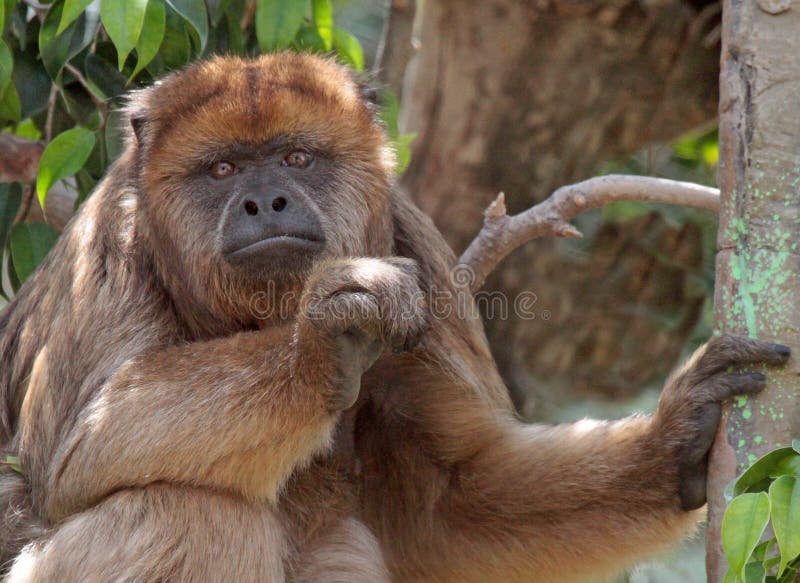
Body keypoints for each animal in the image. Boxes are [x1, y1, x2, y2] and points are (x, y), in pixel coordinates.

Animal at [0, 53, 790, 582]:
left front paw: (674, 444)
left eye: (298, 158)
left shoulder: (420, 257)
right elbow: (71, 456)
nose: (264, 200)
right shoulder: (113, 237)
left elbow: (456, 504)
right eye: (222, 171)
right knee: (183, 513)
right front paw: (320, 345)